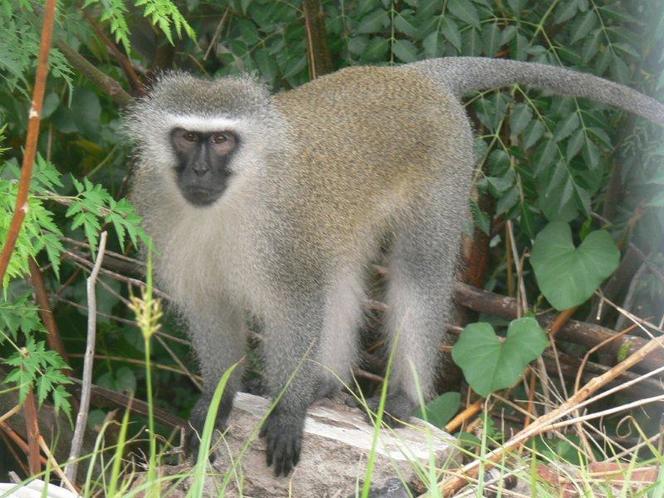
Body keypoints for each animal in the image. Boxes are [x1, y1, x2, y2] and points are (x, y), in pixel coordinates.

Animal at [125, 57, 664, 476]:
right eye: (186, 138)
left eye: (221, 141)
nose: (199, 171)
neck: (228, 201)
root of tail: (409, 74)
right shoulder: (159, 213)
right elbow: (211, 309)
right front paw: (217, 398)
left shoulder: (283, 237)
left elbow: (297, 306)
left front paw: (288, 409)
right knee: (343, 273)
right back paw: (328, 384)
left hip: (448, 167)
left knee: (418, 273)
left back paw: (402, 398)